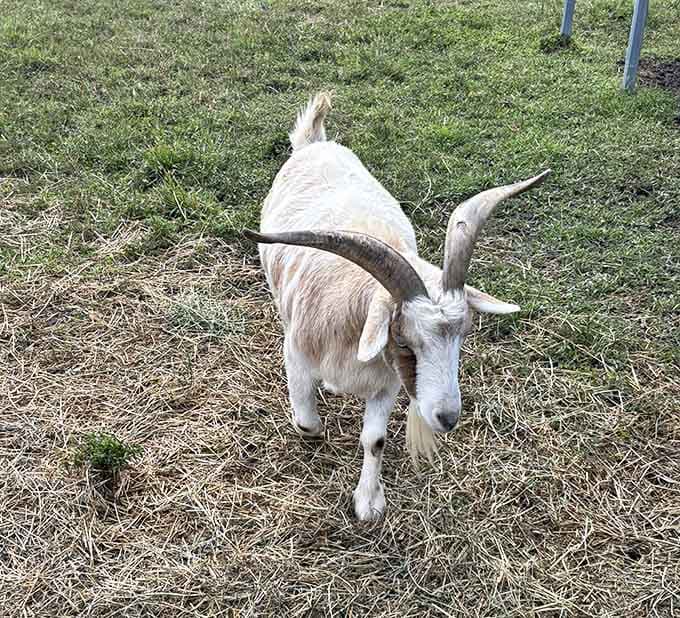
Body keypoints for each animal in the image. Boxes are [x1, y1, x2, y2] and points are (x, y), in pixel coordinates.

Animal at [245, 93, 549, 521]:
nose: (447, 418)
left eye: (464, 335)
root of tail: (314, 143)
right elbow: (307, 423)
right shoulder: (298, 355)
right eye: (405, 342)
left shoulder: (387, 380)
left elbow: (375, 439)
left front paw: (368, 503)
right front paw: (318, 434)